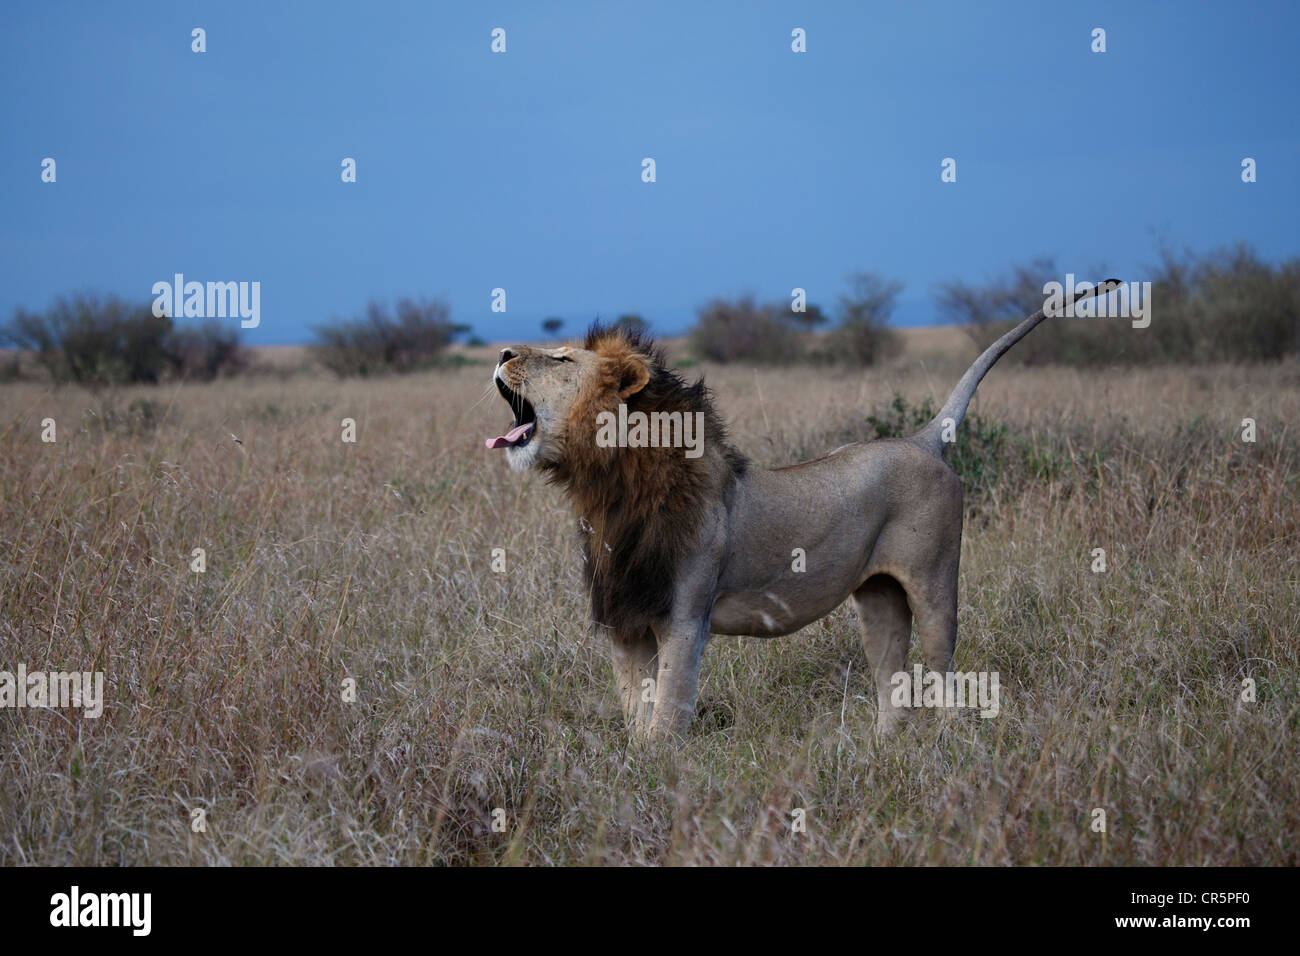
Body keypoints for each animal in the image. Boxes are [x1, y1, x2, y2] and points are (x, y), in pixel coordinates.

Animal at [486, 281, 1119, 741]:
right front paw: (634, 765)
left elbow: (666, 710)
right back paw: (878, 751)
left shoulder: (685, 617)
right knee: (892, 681)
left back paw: (945, 748)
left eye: (560, 359)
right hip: (879, 599)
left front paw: (658, 773)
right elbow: (633, 710)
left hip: (936, 583)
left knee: (941, 674)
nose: (502, 351)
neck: (613, 489)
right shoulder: (626, 620)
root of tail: (921, 440)